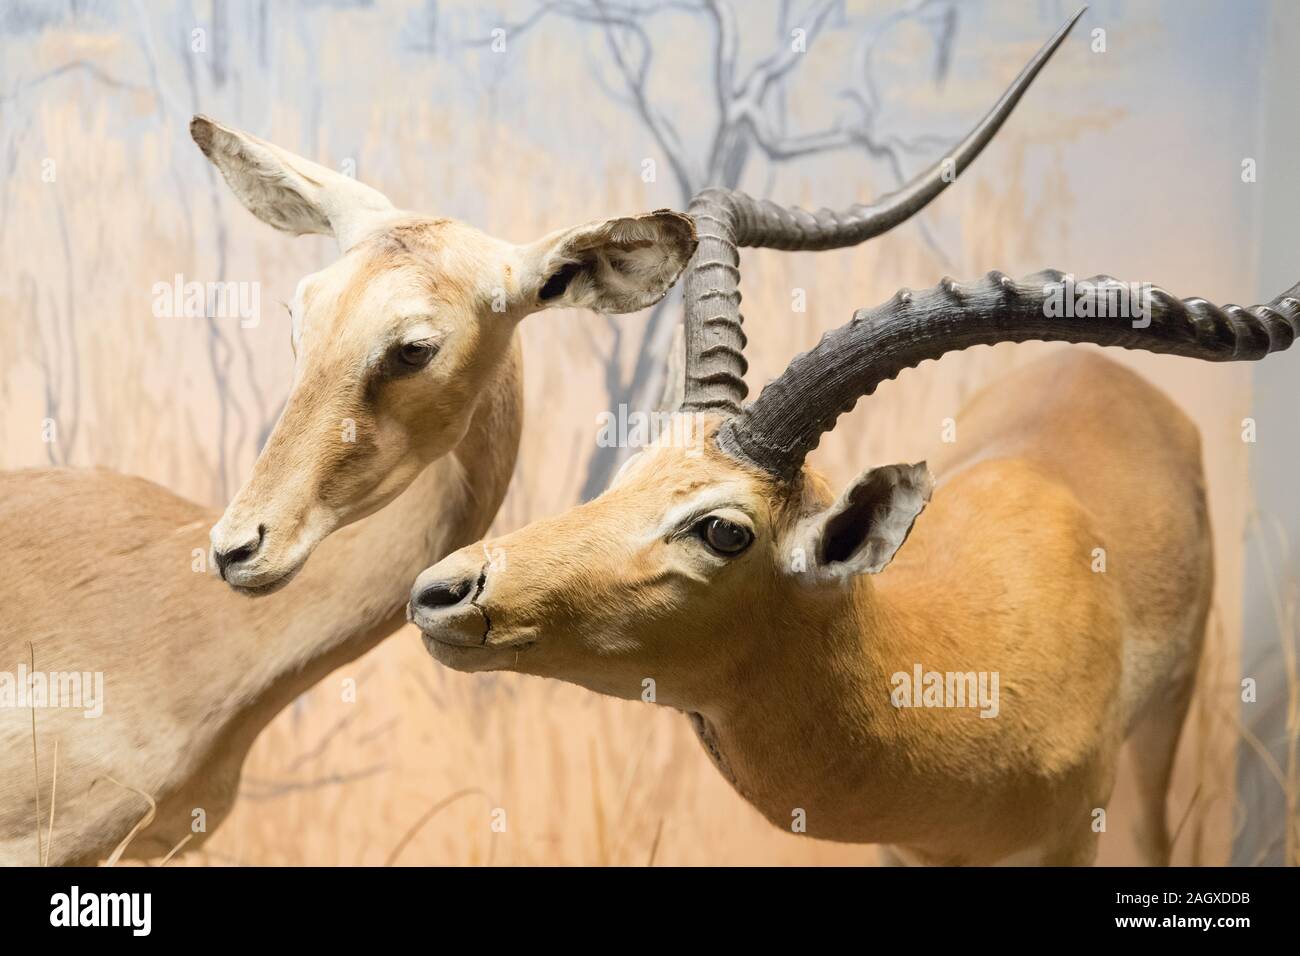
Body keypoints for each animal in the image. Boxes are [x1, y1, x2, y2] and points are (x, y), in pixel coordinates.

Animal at [408, 28, 1300, 866]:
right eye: (633, 472)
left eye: (724, 530)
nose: (441, 592)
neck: (950, 671)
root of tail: (1100, 372)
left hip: (1166, 725)